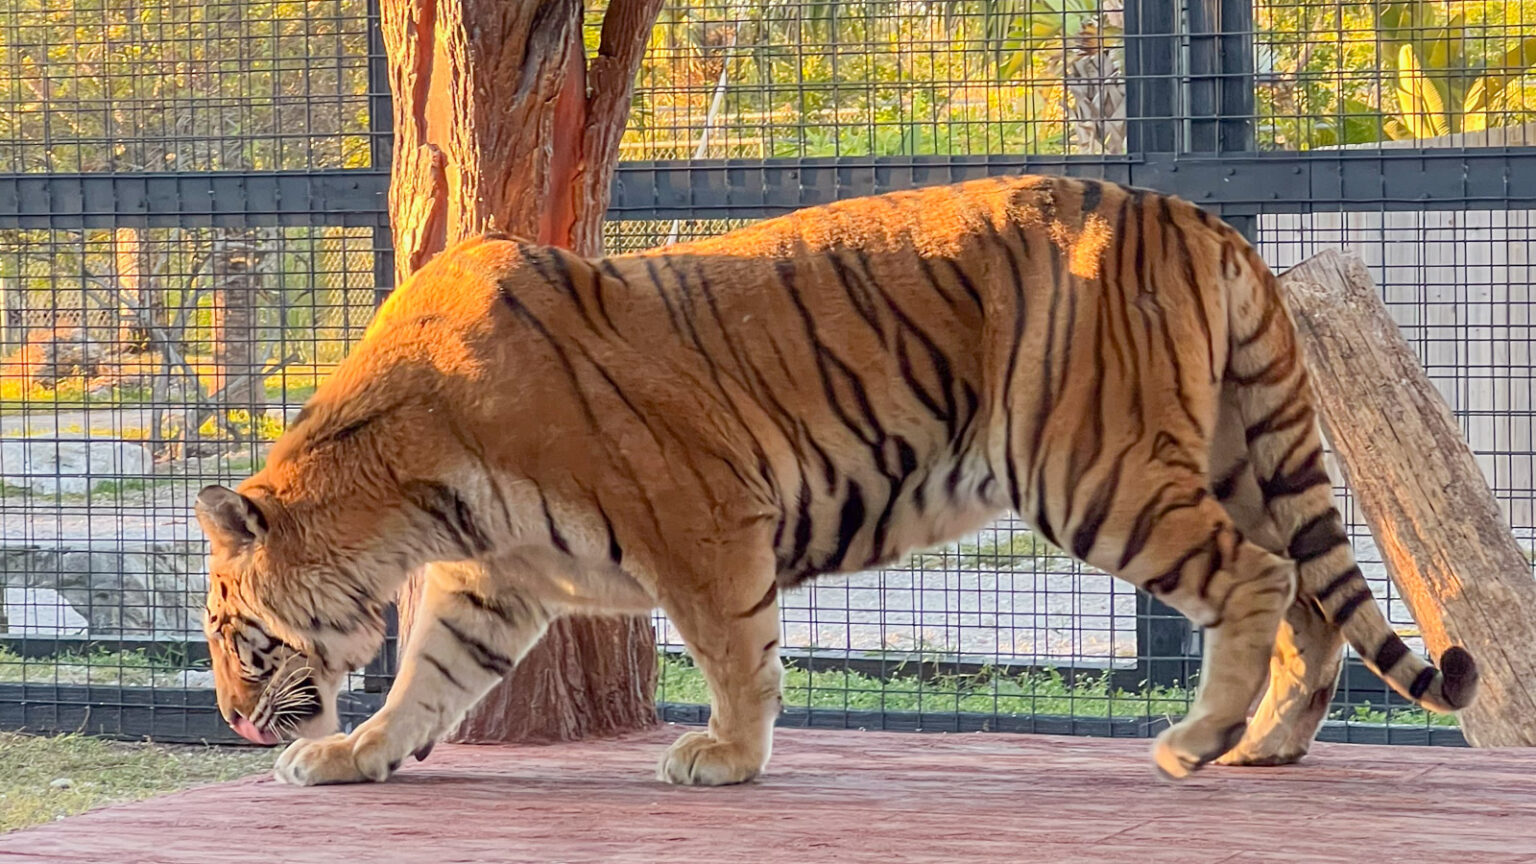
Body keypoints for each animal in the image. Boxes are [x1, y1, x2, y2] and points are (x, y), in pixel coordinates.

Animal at [194, 174, 1477, 788]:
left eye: (236, 636)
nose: (236, 723)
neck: (406, 499)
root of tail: (1194, 213)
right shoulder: (490, 584)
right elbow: (425, 685)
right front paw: (350, 757)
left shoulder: (702, 520)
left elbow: (733, 653)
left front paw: (726, 760)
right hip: (1230, 451)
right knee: (1311, 598)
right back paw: (1266, 747)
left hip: (1095, 471)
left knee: (1257, 578)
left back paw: (1198, 741)